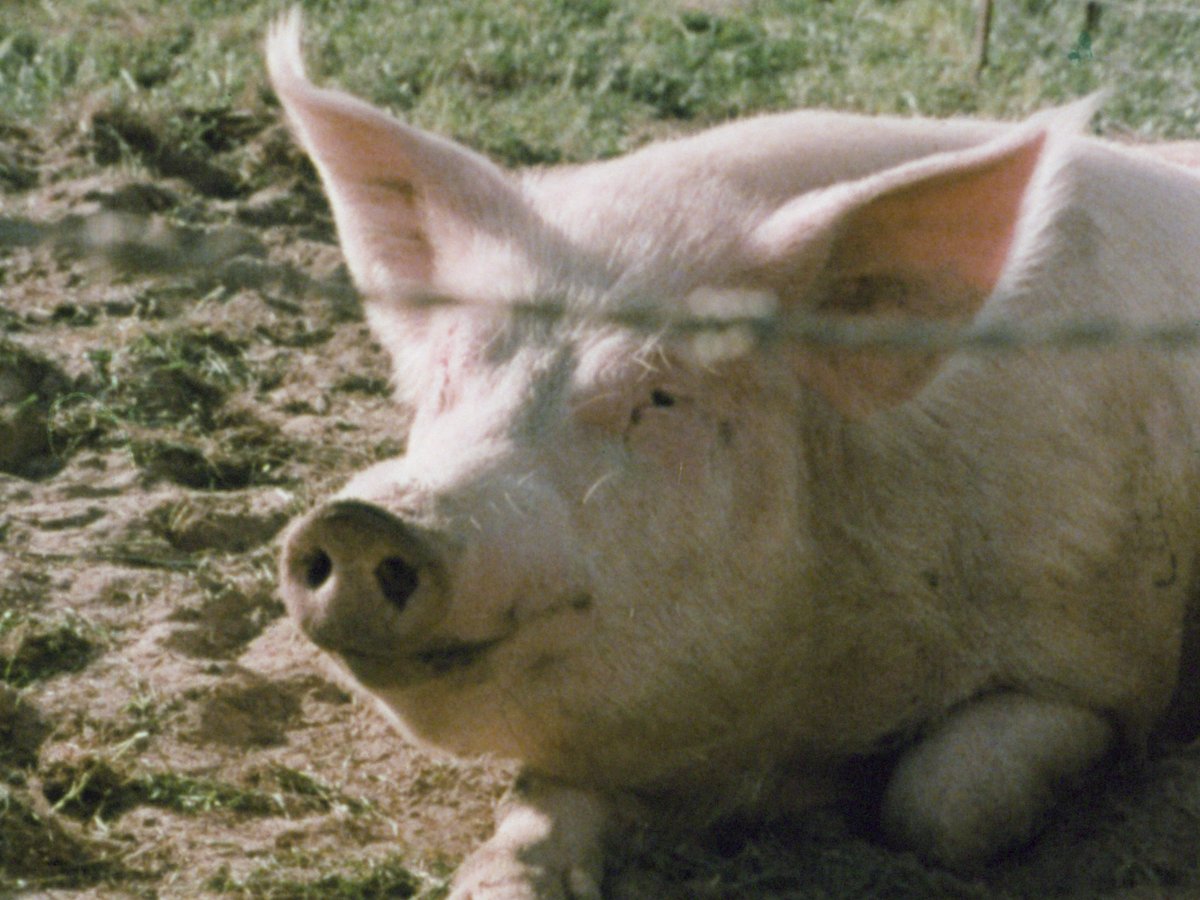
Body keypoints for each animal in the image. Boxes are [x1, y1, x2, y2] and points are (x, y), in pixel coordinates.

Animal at [268, 11, 1200, 898]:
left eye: (660, 396)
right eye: (449, 373)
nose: (362, 518)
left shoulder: (1108, 658)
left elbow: (943, 804)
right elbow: (541, 799)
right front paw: (498, 881)